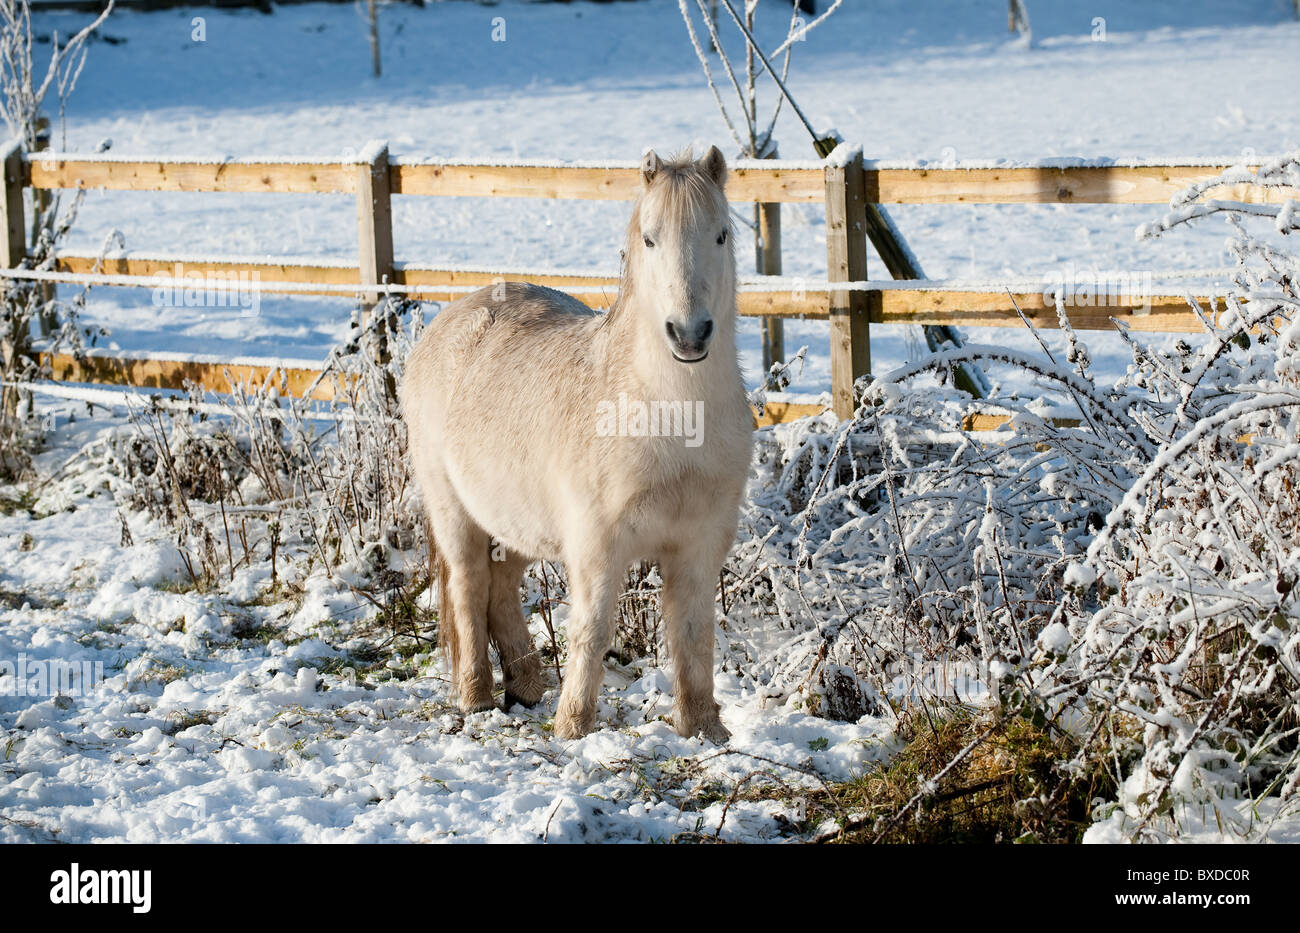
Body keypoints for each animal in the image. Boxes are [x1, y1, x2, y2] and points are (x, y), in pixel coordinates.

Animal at [400, 147, 752, 742]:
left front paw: (705, 729)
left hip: (515, 521)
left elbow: (693, 631)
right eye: (650, 238)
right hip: (454, 512)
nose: (689, 334)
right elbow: (591, 629)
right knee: (469, 589)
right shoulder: (595, 544)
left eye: (722, 234)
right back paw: (475, 697)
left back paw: (525, 687)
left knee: (500, 590)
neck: (670, 415)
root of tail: (452, 318)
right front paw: (573, 729)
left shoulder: (700, 542)